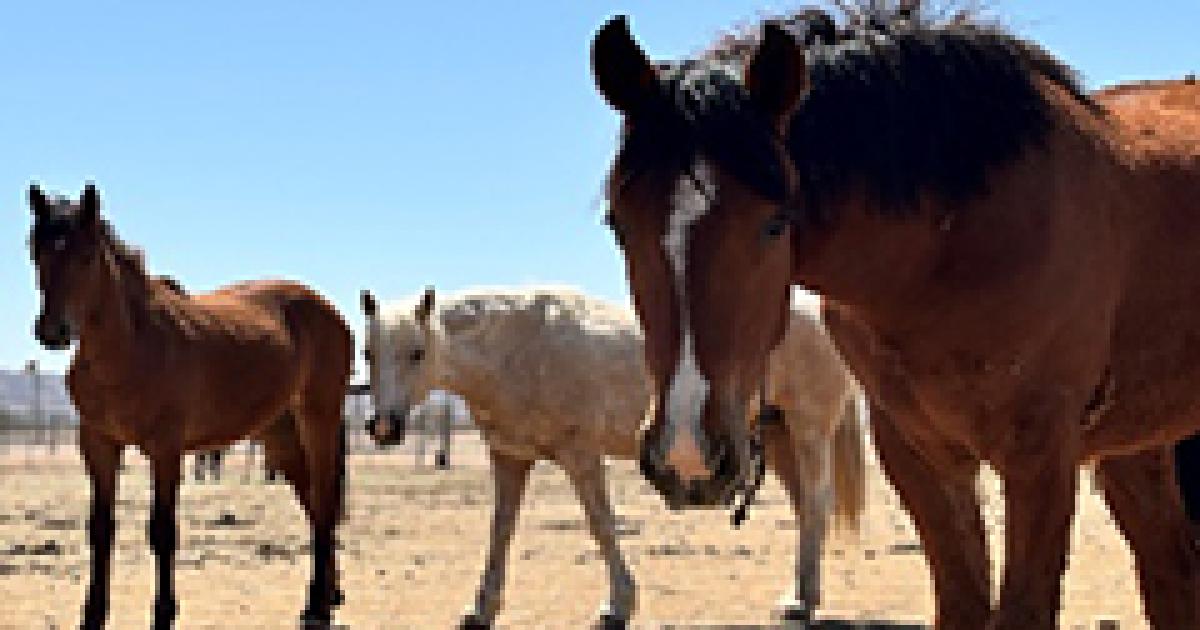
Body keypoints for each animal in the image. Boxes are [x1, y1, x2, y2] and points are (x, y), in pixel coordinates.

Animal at [26, 184, 352, 628]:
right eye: (36, 251)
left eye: (87, 255)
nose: (53, 331)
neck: (131, 347)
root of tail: (327, 310)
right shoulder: (99, 446)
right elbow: (101, 528)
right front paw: (92, 614)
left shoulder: (166, 451)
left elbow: (162, 531)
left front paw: (164, 613)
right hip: (280, 435)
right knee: (314, 504)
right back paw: (326, 596)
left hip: (318, 418)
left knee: (325, 502)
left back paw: (317, 607)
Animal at [360, 286, 865, 627]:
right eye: (367, 353)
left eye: (417, 352)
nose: (383, 427)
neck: (518, 348)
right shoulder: (510, 457)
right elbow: (500, 531)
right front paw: (481, 609)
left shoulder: (580, 453)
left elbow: (601, 525)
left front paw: (618, 606)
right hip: (777, 438)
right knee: (806, 510)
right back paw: (801, 595)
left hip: (808, 430)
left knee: (815, 504)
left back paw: (802, 603)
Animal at [591, 3, 1200, 628]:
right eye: (618, 225)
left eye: (776, 222)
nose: (687, 455)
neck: (952, 244)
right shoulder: (918, 456)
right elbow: (961, 602)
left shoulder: (1042, 459)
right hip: (1135, 446)